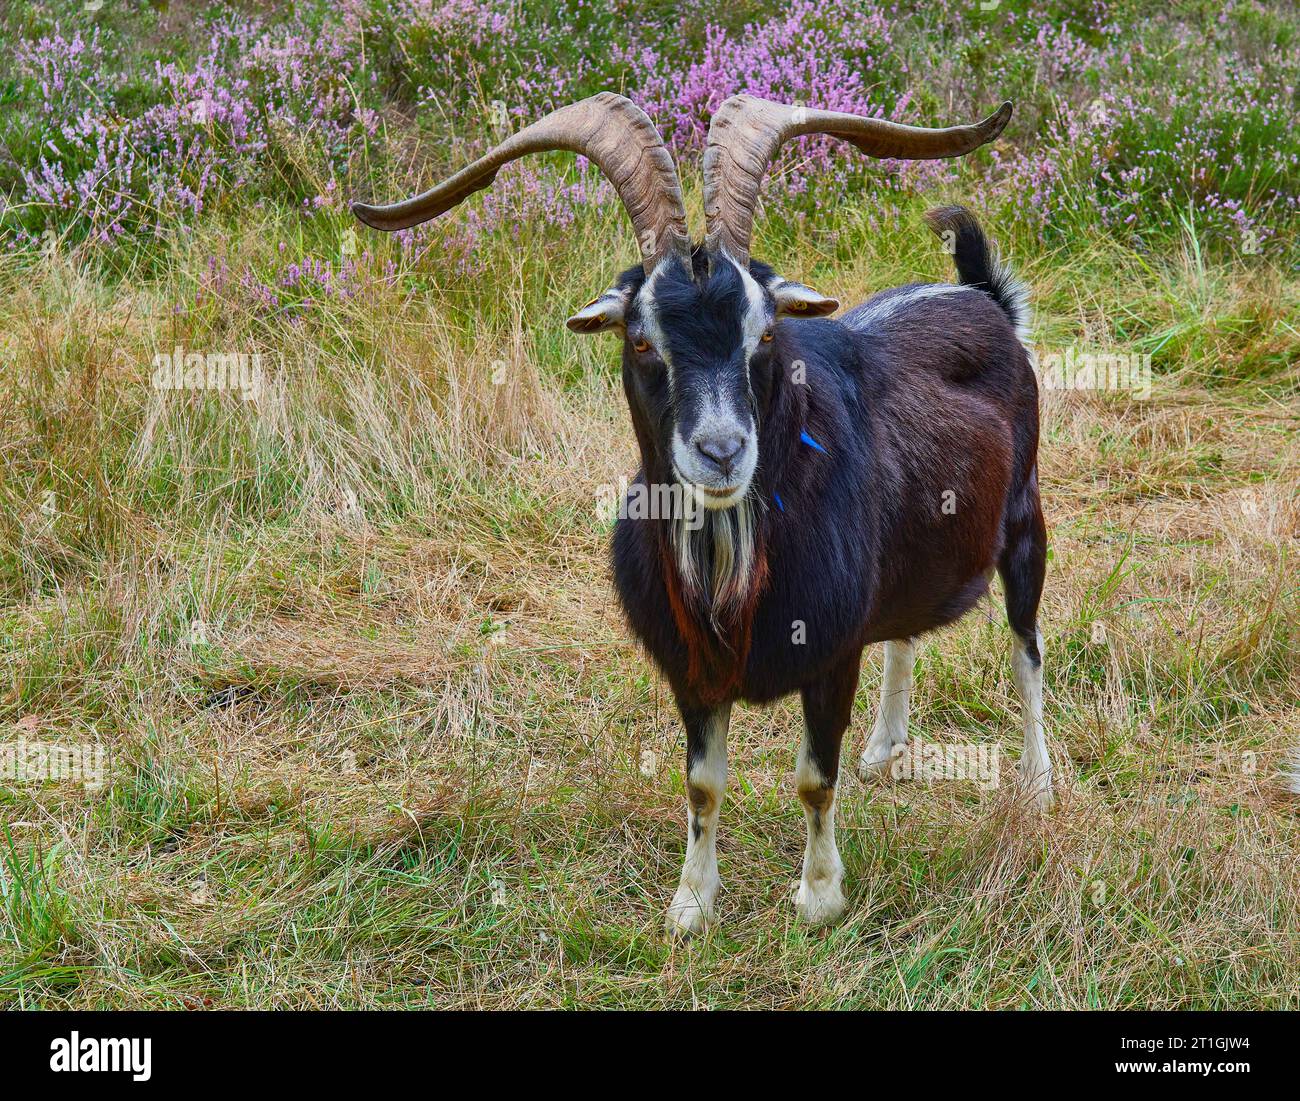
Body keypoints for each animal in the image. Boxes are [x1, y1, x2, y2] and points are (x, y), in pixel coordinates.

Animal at [353, 92, 1051, 935]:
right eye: (641, 339)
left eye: (766, 330)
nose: (720, 451)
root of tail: (982, 299)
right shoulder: (690, 665)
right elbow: (702, 784)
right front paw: (691, 904)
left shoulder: (829, 653)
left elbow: (813, 778)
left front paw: (819, 897)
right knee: (906, 629)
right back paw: (886, 746)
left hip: (1025, 524)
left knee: (1026, 650)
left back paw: (1037, 782)